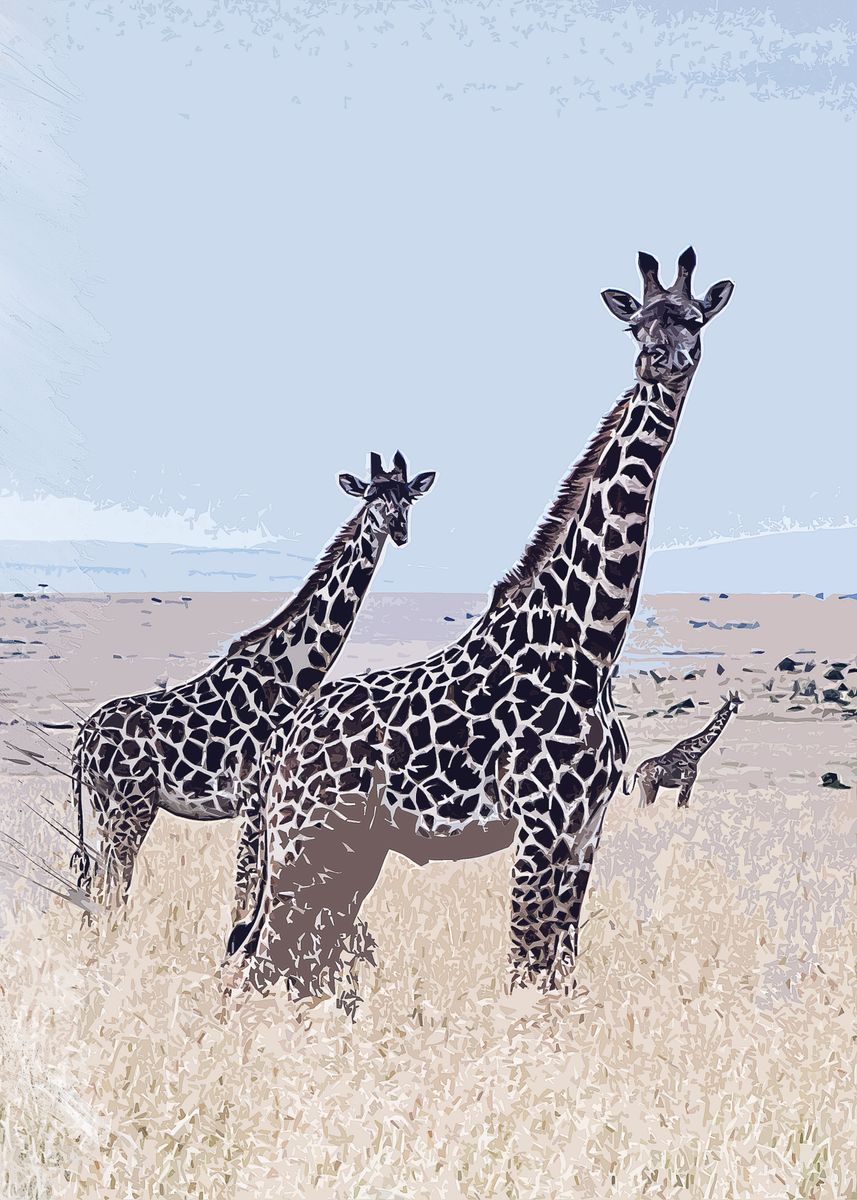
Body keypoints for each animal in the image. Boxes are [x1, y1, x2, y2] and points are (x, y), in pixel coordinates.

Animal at [70, 452, 435, 918]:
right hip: (130, 803)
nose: (400, 531)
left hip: (107, 805)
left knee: (100, 887)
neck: (289, 677)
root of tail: (82, 740)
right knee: (111, 888)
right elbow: (245, 894)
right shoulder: (252, 799)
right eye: (371, 497)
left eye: (408, 498)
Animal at [226, 247, 734, 1001]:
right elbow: (524, 968)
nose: (659, 359)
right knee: (262, 963)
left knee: (297, 962)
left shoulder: (585, 829)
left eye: (694, 319)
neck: (589, 643)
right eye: (635, 324)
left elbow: (560, 975)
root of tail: (280, 742)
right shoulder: (539, 824)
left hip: (348, 849)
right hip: (303, 836)